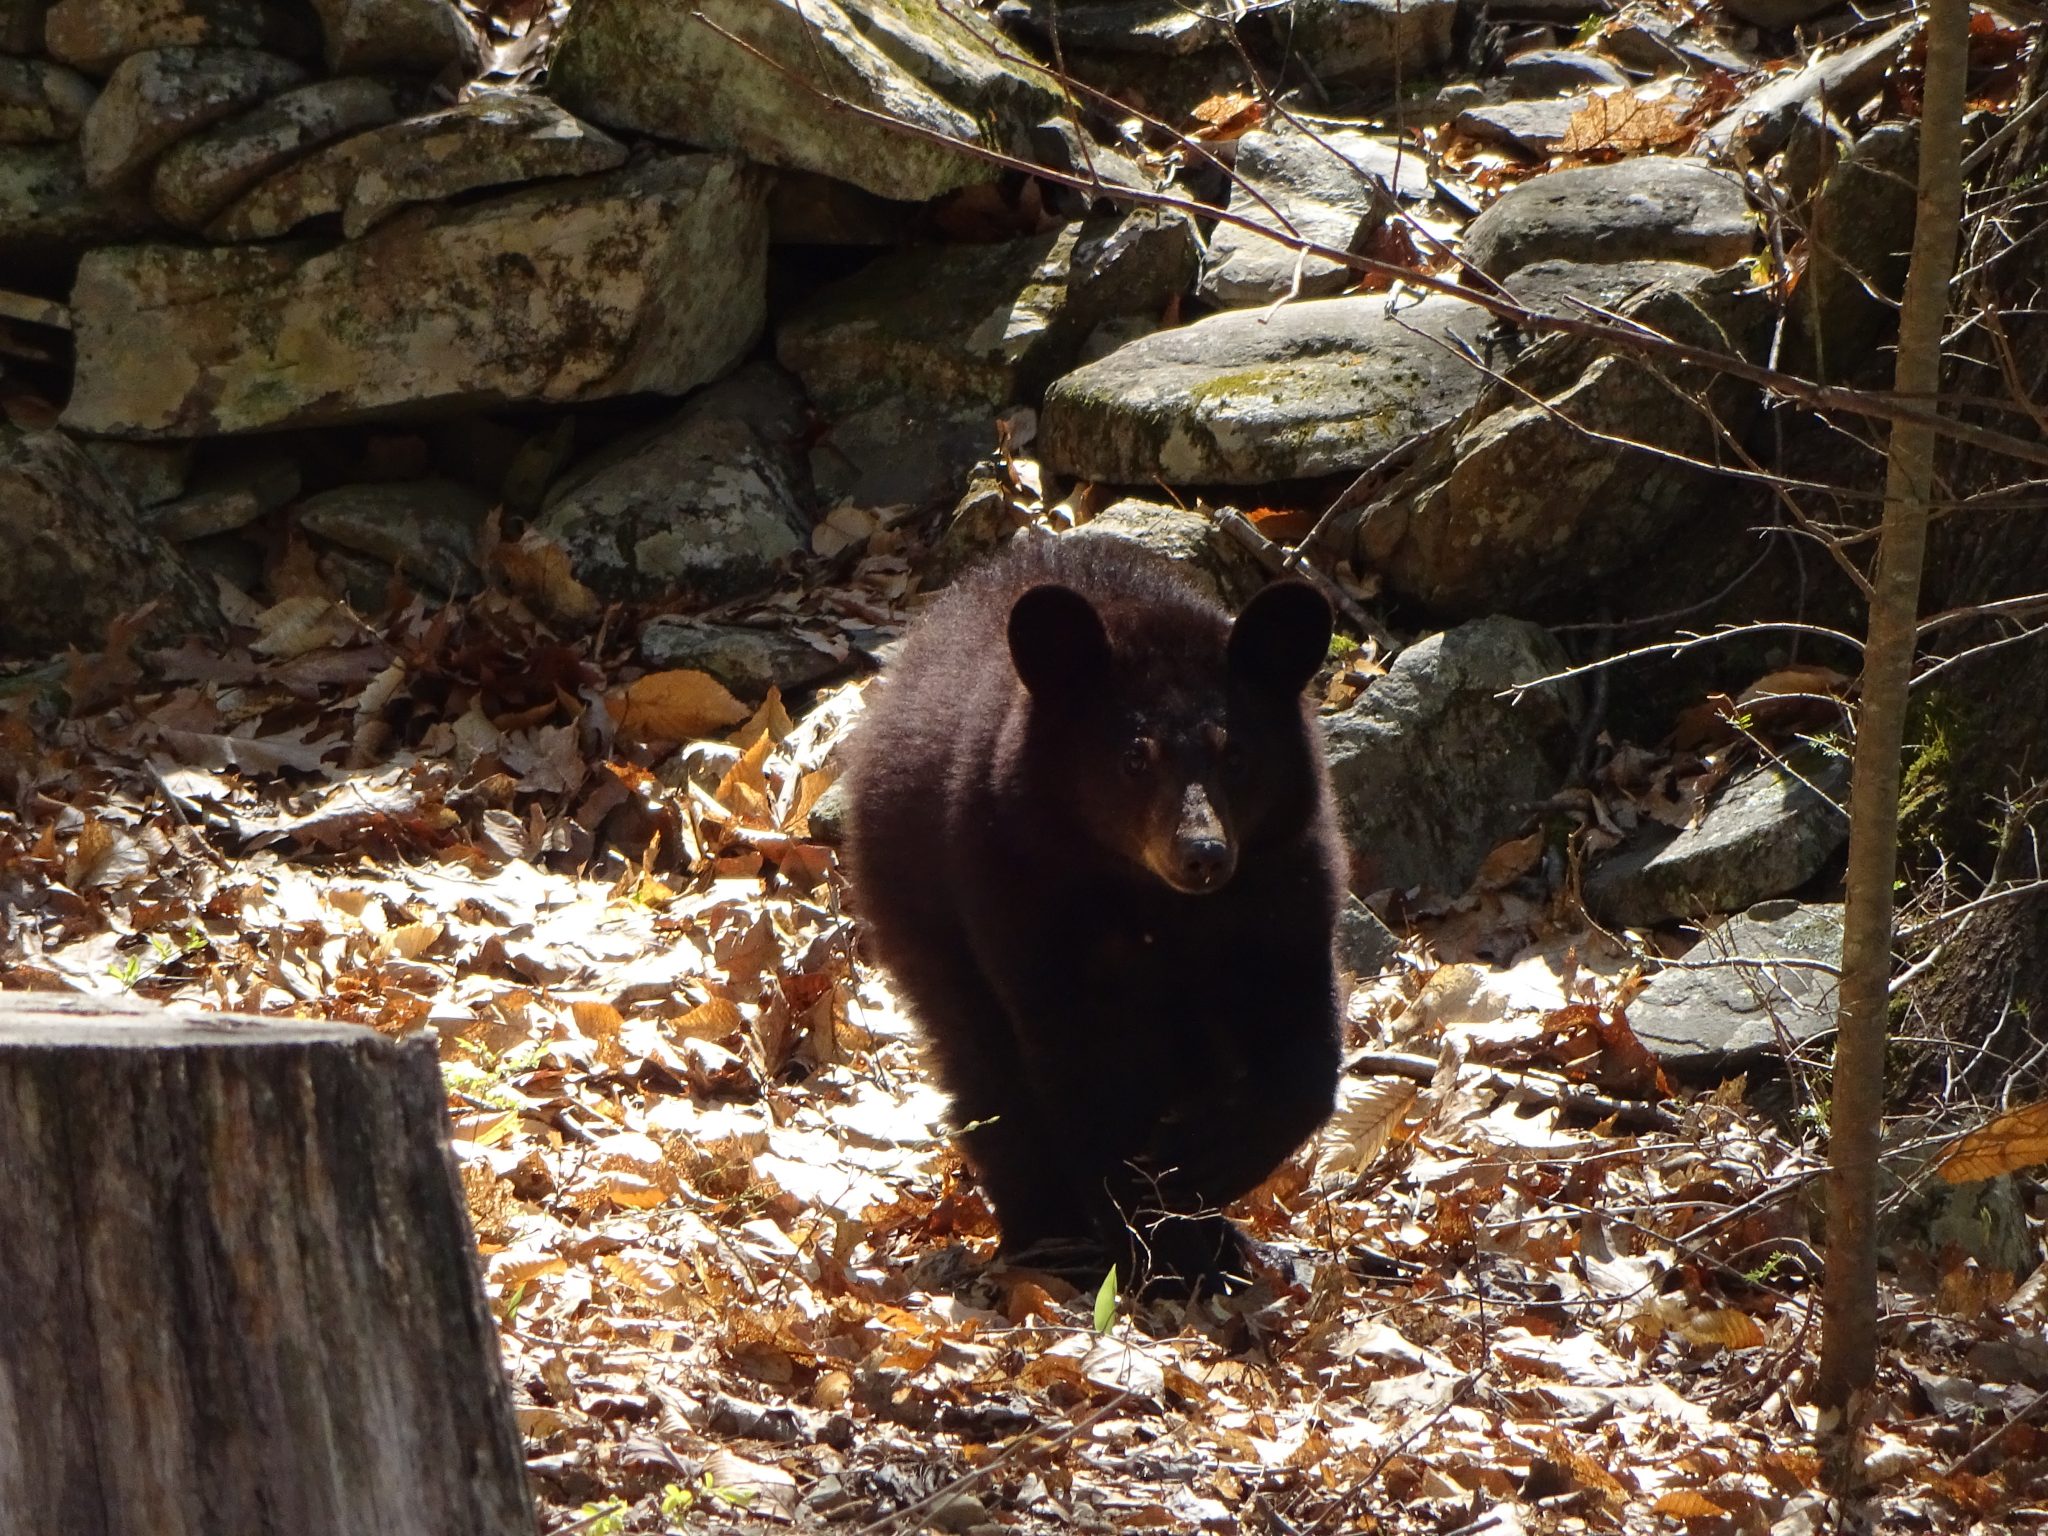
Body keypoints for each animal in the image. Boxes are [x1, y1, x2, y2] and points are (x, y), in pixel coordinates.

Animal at [843, 534, 1346, 1291]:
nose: (1202, 853)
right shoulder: (1027, 895)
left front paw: (1203, 1162)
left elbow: (1299, 1039)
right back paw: (1051, 1238)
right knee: (987, 1072)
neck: (1158, 902)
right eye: (1135, 756)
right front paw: (1155, 1237)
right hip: (921, 908)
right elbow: (1087, 1069)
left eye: (1235, 753)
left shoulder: (1282, 882)